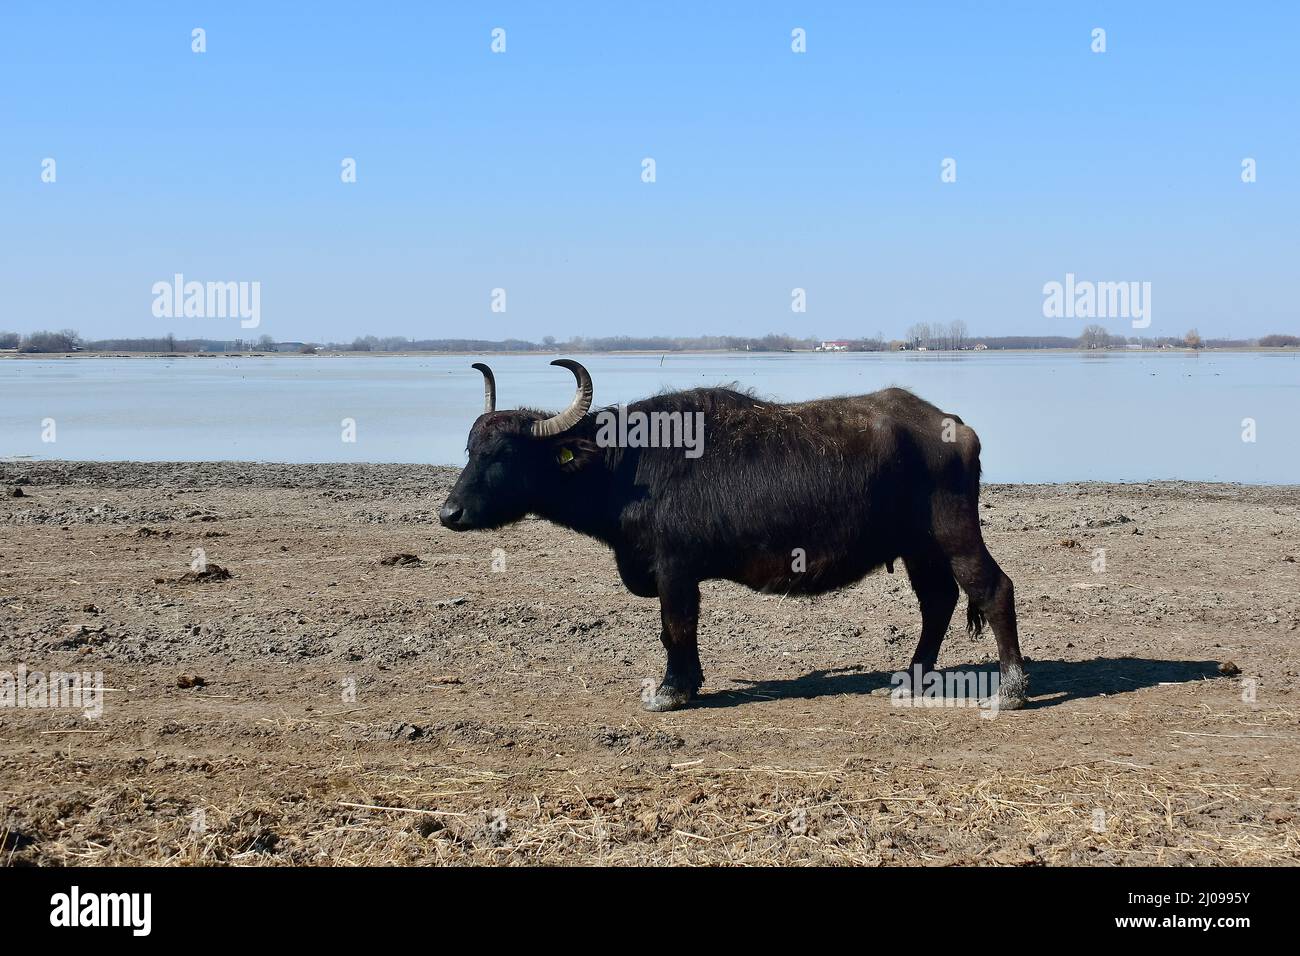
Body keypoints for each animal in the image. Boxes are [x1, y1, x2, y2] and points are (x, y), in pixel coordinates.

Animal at [439, 360, 1028, 713]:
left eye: (504, 453)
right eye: (470, 448)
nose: (449, 512)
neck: (626, 465)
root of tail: (953, 424)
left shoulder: (675, 570)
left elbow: (676, 627)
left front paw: (671, 691)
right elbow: (676, 631)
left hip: (953, 530)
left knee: (992, 589)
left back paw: (1012, 690)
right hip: (917, 547)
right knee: (938, 600)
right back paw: (912, 675)